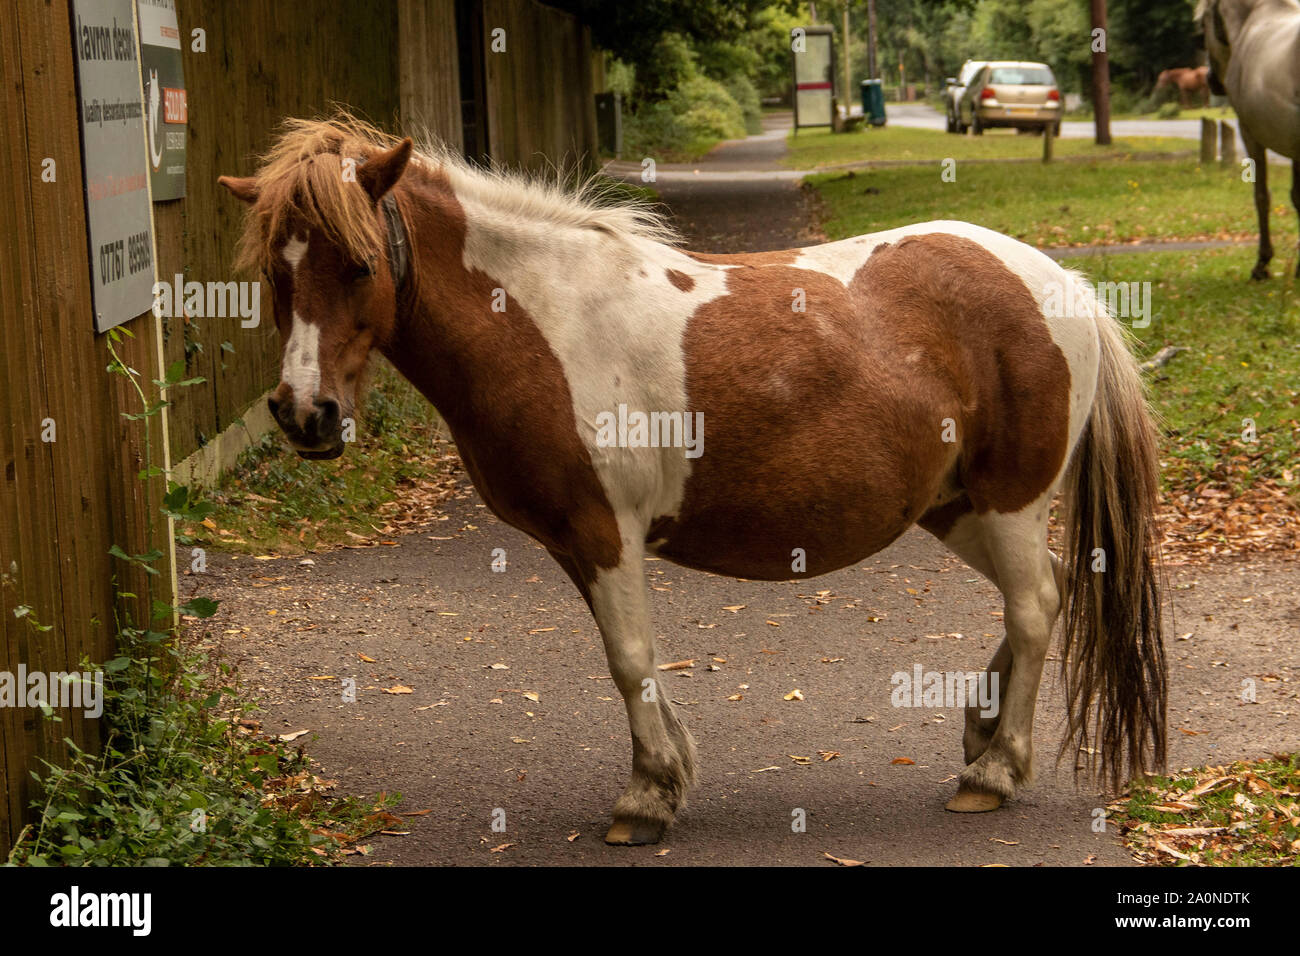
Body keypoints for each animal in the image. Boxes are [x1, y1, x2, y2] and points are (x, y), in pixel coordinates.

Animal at [219, 115, 1167, 846]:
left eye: (359, 264)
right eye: (274, 272)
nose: (305, 414)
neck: (541, 321)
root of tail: (1062, 281)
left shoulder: (605, 531)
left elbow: (630, 657)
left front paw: (645, 798)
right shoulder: (576, 542)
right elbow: (629, 660)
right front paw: (669, 774)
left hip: (1010, 501)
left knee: (1035, 607)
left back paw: (995, 771)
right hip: (957, 506)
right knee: (1043, 595)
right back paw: (981, 730)